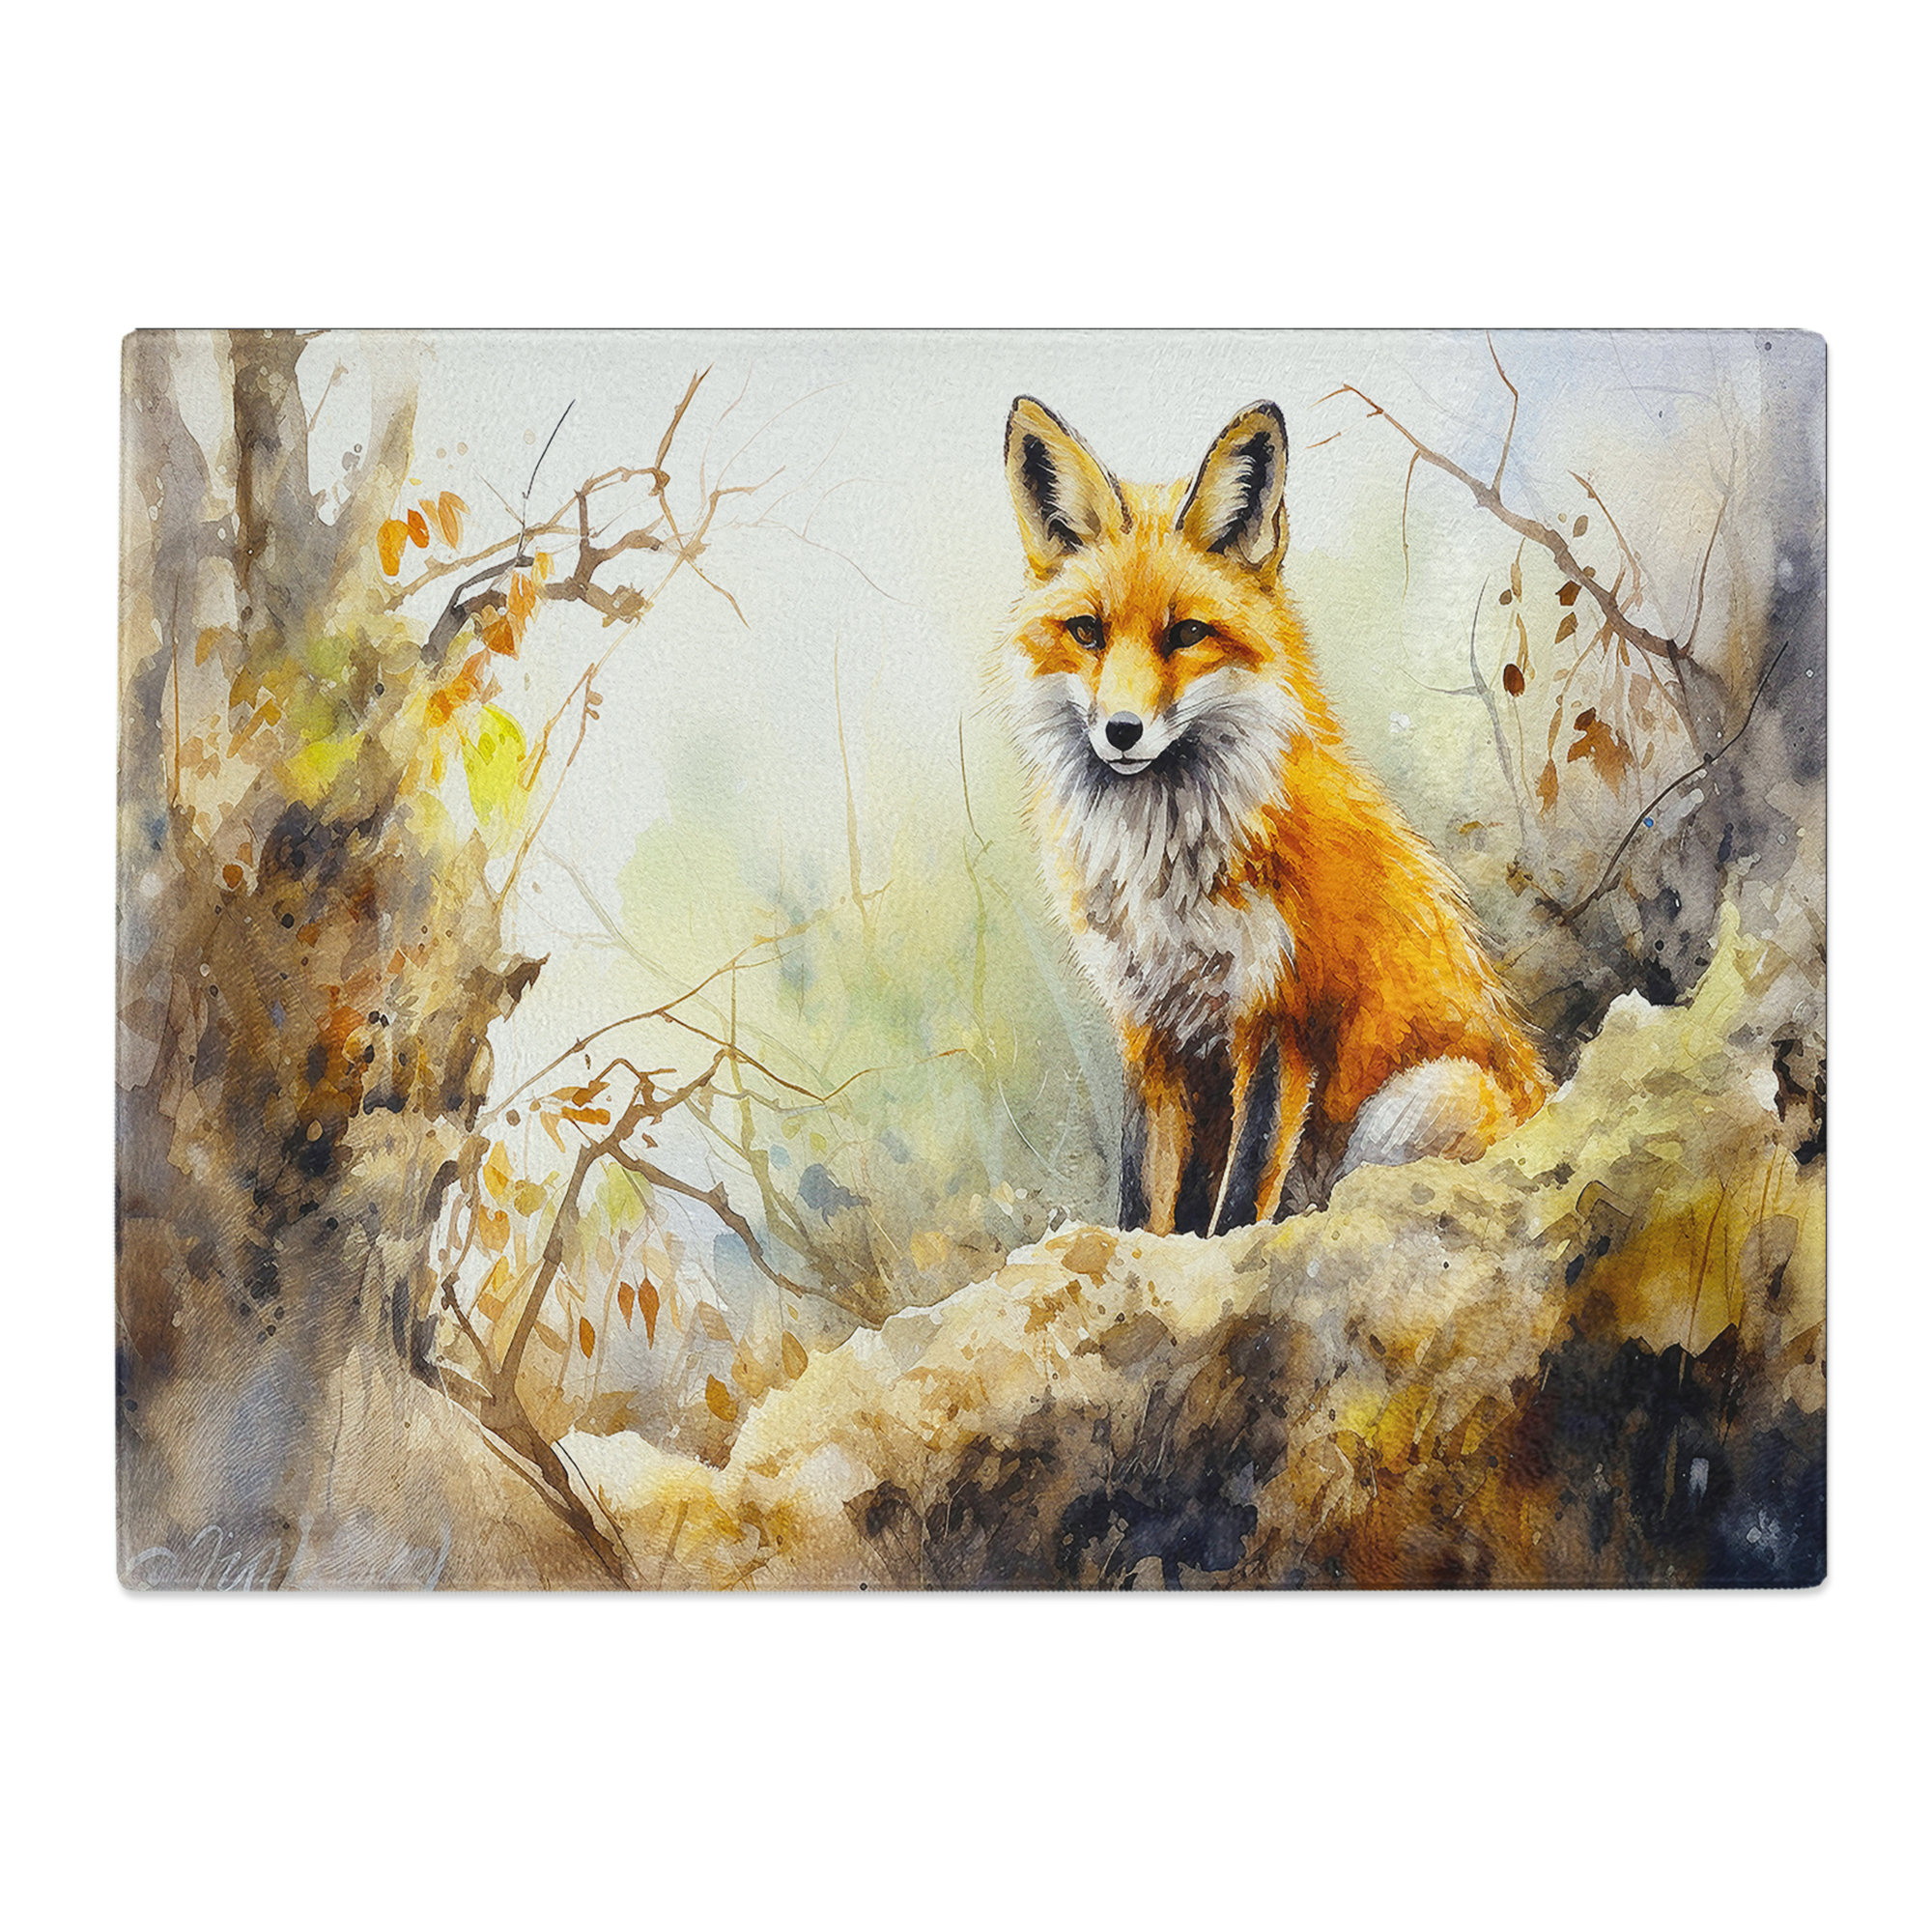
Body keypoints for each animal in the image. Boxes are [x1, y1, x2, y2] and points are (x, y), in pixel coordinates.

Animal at [1000, 395, 1549, 1237]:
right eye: (1088, 632)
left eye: (1186, 634)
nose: (1121, 731)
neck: (1167, 867)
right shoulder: (1150, 1033)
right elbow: (1142, 1201)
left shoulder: (1281, 1024)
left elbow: (1239, 1201)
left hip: (1419, 1102)